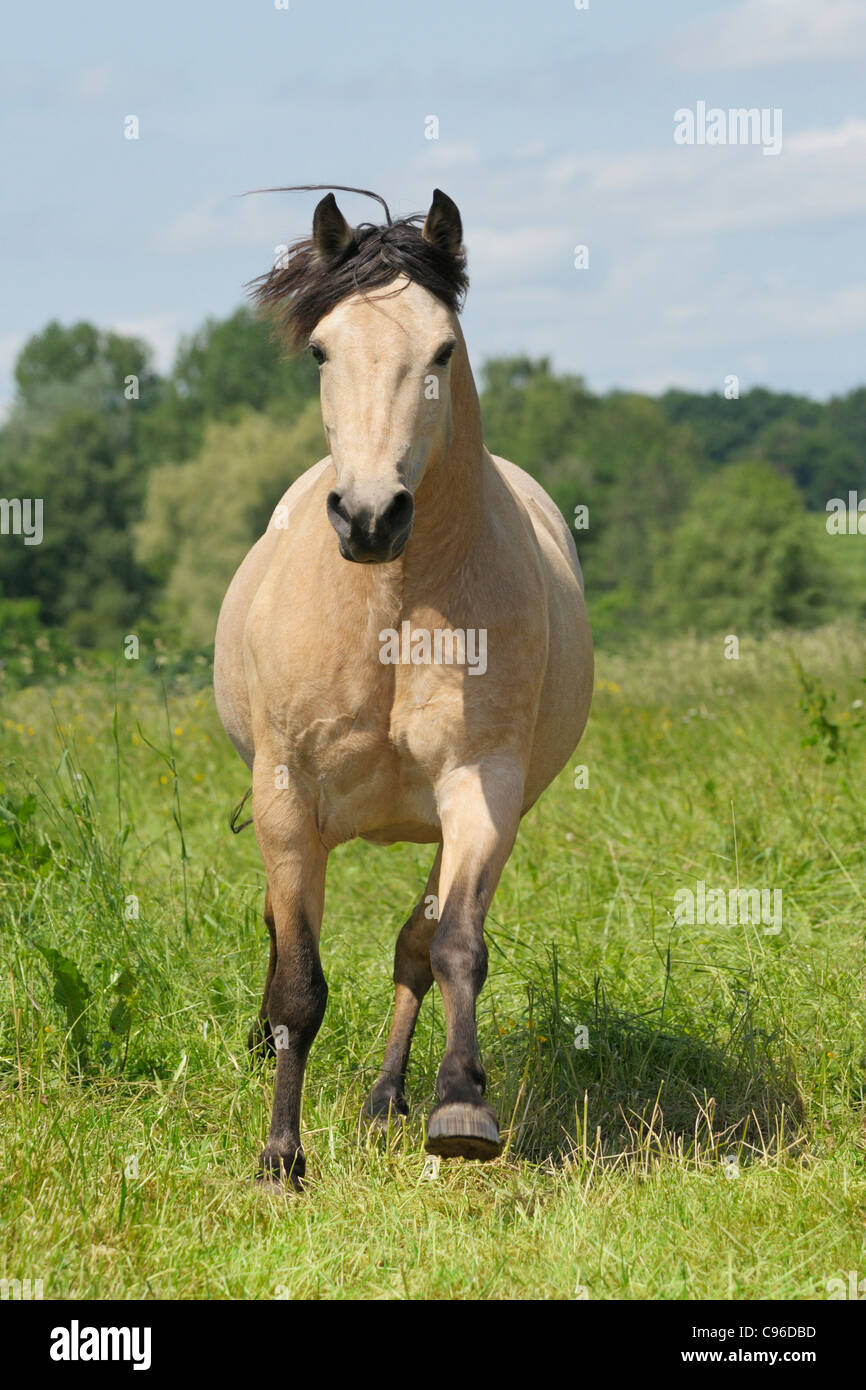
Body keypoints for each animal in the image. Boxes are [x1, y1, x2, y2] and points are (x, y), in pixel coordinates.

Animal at [214, 187, 593, 1186]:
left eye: (443, 350)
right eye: (321, 350)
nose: (371, 516)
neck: (391, 603)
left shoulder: (481, 786)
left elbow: (452, 947)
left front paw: (461, 1108)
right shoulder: (285, 796)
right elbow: (298, 984)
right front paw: (281, 1157)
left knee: (417, 950)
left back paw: (388, 1098)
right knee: (283, 941)